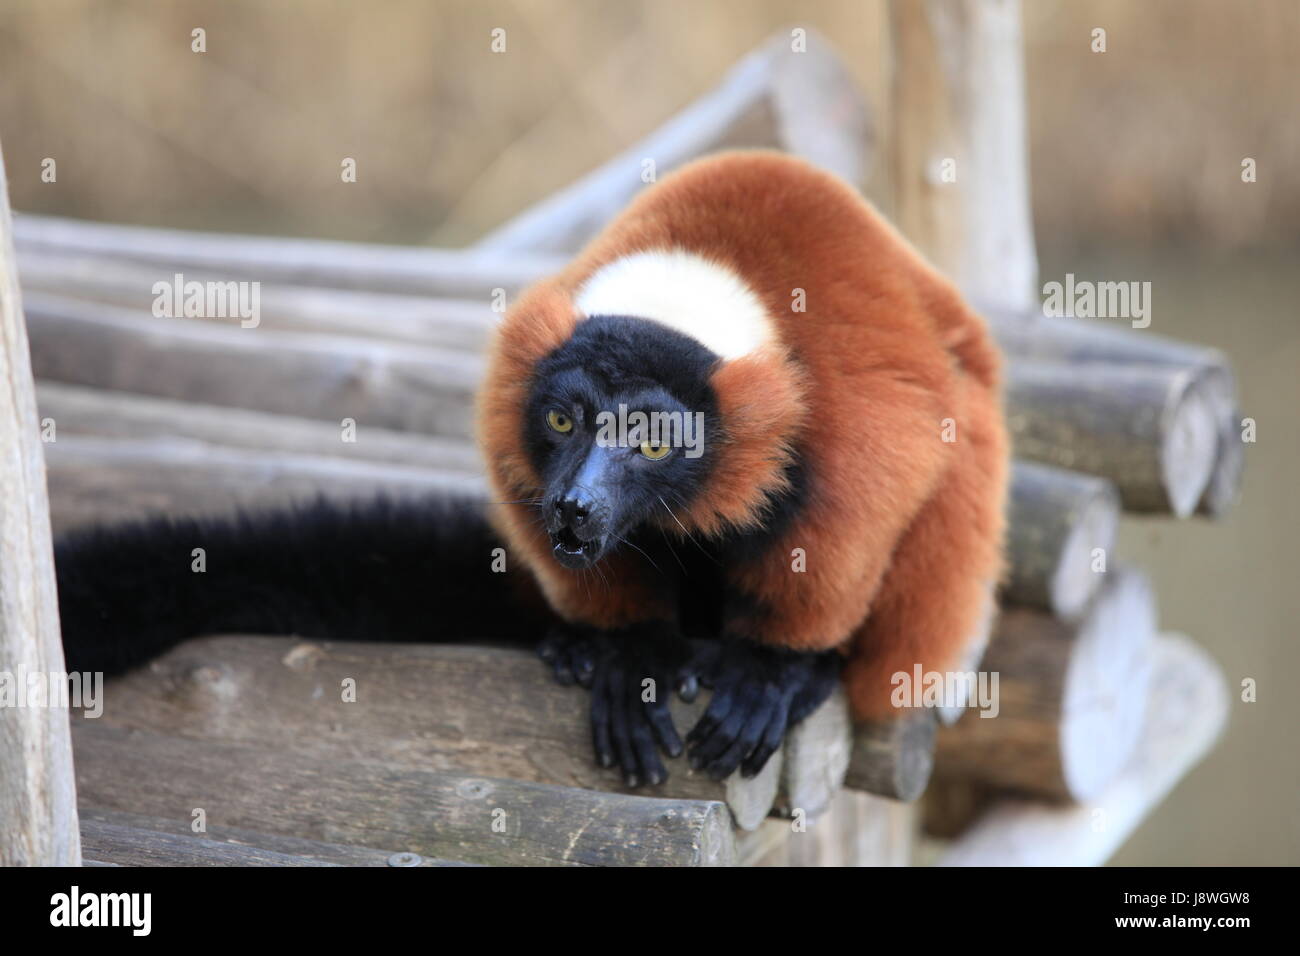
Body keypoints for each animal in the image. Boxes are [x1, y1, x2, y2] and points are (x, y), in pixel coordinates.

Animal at [54, 151, 1007, 791]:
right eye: (562, 422)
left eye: (650, 442)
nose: (577, 509)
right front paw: (628, 654)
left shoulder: (851, 421)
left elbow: (860, 510)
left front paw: (774, 669)